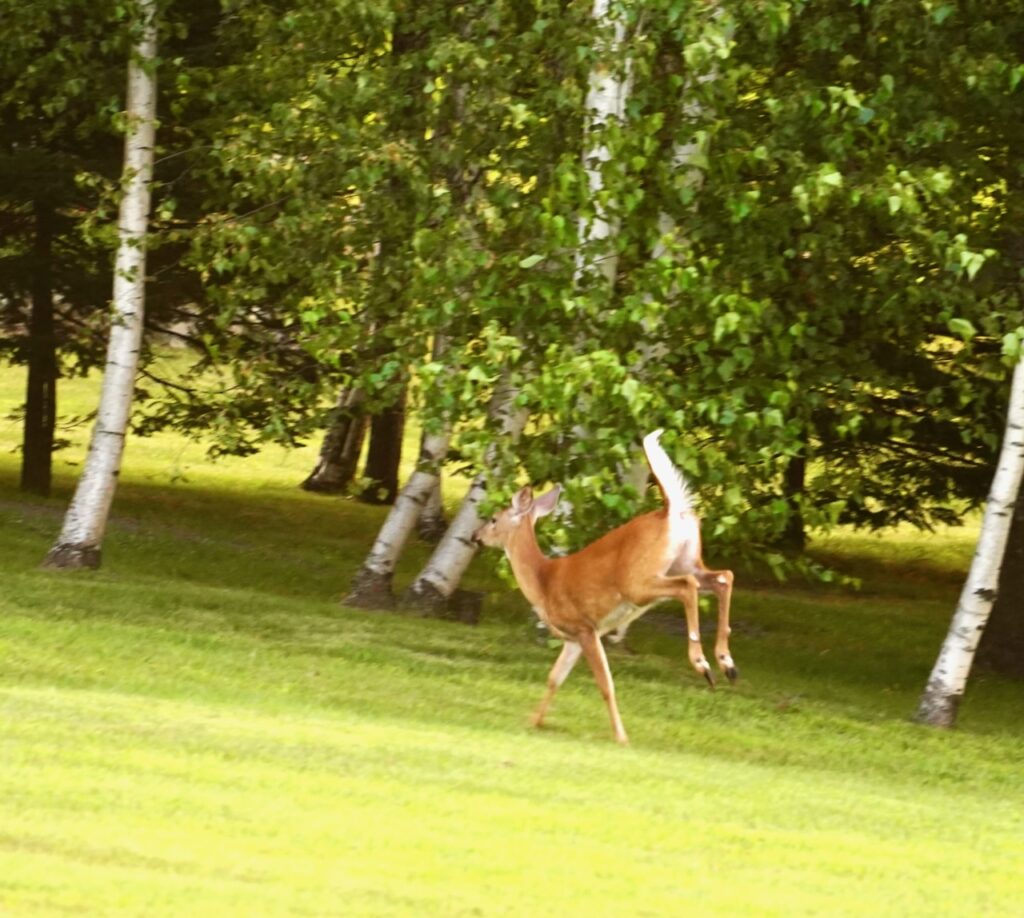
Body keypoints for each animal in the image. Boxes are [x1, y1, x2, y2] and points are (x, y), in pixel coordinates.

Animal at [472, 429, 735, 745]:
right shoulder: (574, 637)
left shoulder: (585, 627)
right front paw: (534, 722)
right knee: (723, 577)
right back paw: (727, 663)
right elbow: (554, 678)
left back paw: (702, 663)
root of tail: (672, 511)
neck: (543, 581)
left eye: (493, 519)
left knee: (688, 586)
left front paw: (621, 737)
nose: (475, 536)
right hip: (685, 562)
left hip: (640, 582)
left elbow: (605, 684)